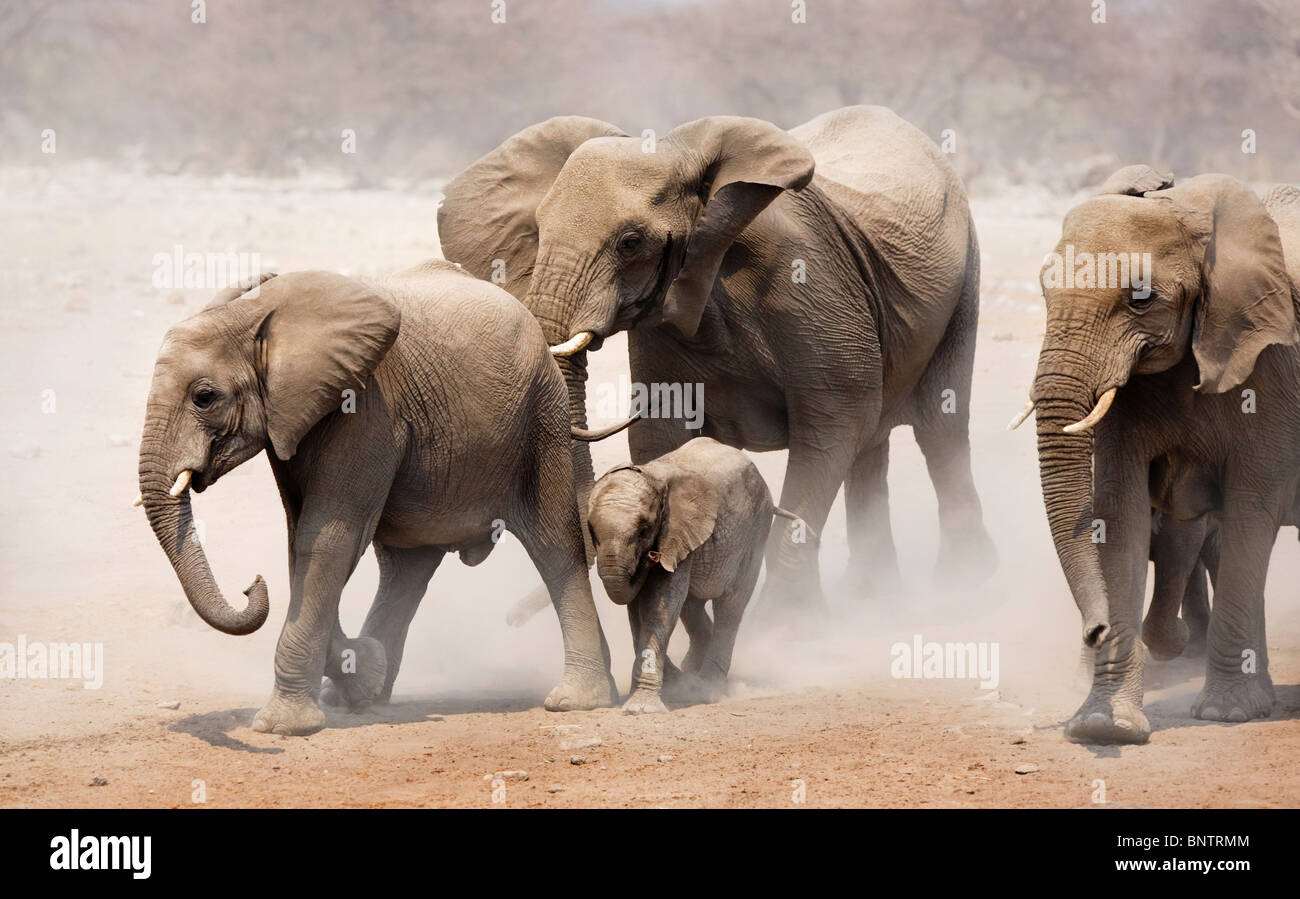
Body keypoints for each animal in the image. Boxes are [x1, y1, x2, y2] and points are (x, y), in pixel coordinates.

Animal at [136, 260, 620, 736]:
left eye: (204, 397)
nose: (251, 583)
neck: (256, 316)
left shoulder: (367, 410)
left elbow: (326, 539)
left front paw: (282, 727)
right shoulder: (293, 422)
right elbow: (301, 542)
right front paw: (363, 670)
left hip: (541, 417)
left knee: (554, 547)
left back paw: (579, 700)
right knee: (406, 570)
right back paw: (365, 690)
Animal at [437, 106, 997, 616]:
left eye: (630, 242)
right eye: (537, 229)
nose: (510, 618)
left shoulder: (812, 288)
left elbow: (834, 426)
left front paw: (784, 628)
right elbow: (661, 435)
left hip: (965, 282)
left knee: (939, 428)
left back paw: (964, 588)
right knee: (874, 446)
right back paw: (873, 597)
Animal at [586, 437, 800, 713]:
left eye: (644, 530)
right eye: (591, 530)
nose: (650, 556)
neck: (654, 477)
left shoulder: (678, 533)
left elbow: (659, 606)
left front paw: (640, 708)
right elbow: (639, 609)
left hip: (756, 529)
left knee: (730, 606)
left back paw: (709, 688)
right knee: (692, 605)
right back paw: (692, 676)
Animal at [1016, 167, 1300, 743]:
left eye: (1141, 299)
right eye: (1044, 288)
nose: (1095, 629)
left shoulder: (1272, 365)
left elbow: (1251, 511)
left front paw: (1225, 715)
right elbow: (1119, 515)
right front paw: (1105, 727)